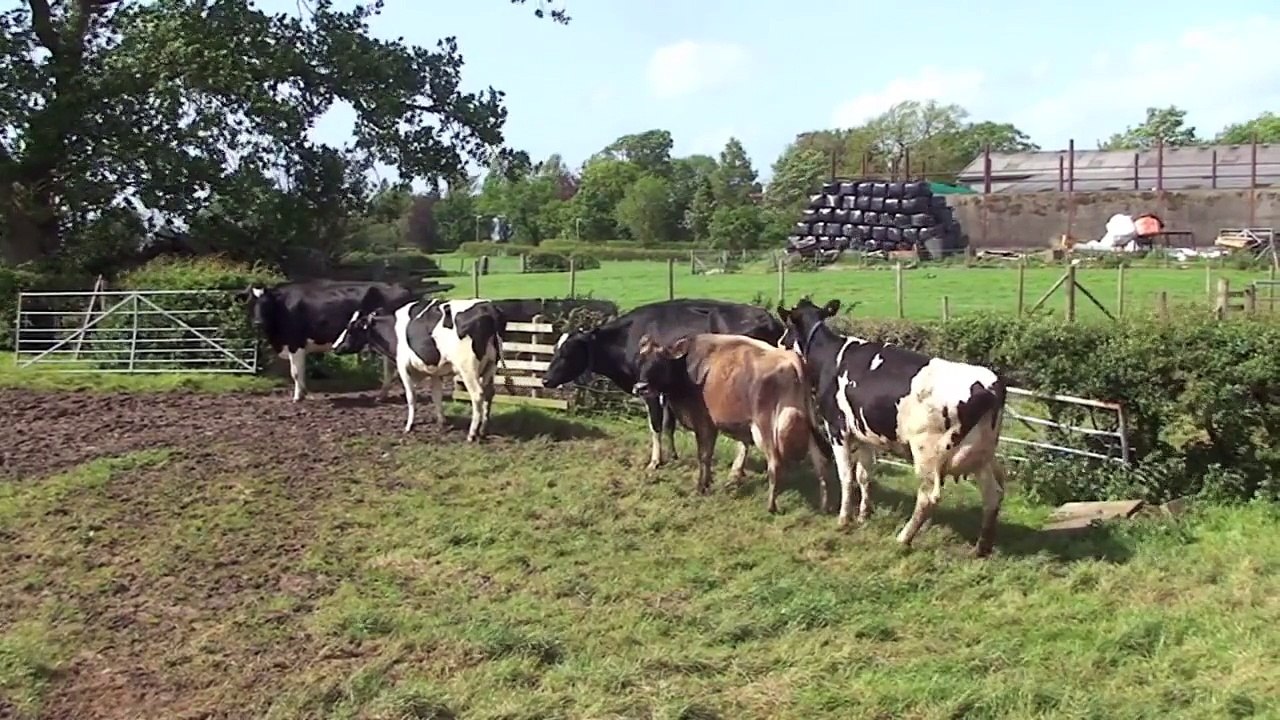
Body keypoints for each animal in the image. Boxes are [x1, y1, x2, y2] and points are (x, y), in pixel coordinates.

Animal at [240, 280, 416, 402]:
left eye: (266, 303)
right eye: (250, 302)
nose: (258, 323)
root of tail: (401, 288)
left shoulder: (295, 344)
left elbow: (295, 373)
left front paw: (297, 397)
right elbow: (301, 372)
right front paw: (302, 393)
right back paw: (383, 395)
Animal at [331, 298, 506, 441]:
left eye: (351, 327)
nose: (335, 346)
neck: (393, 328)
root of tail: (488, 306)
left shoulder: (403, 366)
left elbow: (411, 396)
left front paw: (409, 426)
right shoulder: (435, 371)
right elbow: (436, 396)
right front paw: (441, 422)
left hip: (467, 368)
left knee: (477, 394)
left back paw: (472, 433)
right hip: (491, 365)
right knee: (489, 393)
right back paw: (483, 430)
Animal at [540, 298, 786, 472]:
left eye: (567, 352)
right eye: (555, 348)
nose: (545, 380)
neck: (629, 336)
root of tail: (770, 319)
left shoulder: (649, 389)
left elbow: (656, 424)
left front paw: (655, 462)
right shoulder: (668, 391)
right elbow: (669, 424)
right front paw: (673, 456)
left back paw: (736, 470)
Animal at [631, 333, 832, 514]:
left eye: (659, 363)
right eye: (640, 362)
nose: (640, 388)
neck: (687, 370)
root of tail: (792, 359)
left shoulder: (704, 422)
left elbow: (704, 456)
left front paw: (701, 487)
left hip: (765, 428)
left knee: (775, 464)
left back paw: (771, 506)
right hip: (809, 424)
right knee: (821, 463)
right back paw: (824, 505)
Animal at [776, 297, 1009, 557]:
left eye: (788, 323)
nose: (779, 342)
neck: (830, 359)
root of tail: (990, 385)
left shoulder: (838, 429)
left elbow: (846, 476)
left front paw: (844, 519)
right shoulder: (864, 434)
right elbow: (864, 475)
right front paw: (863, 515)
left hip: (928, 453)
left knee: (929, 497)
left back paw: (903, 538)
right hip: (982, 455)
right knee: (993, 494)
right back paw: (981, 547)